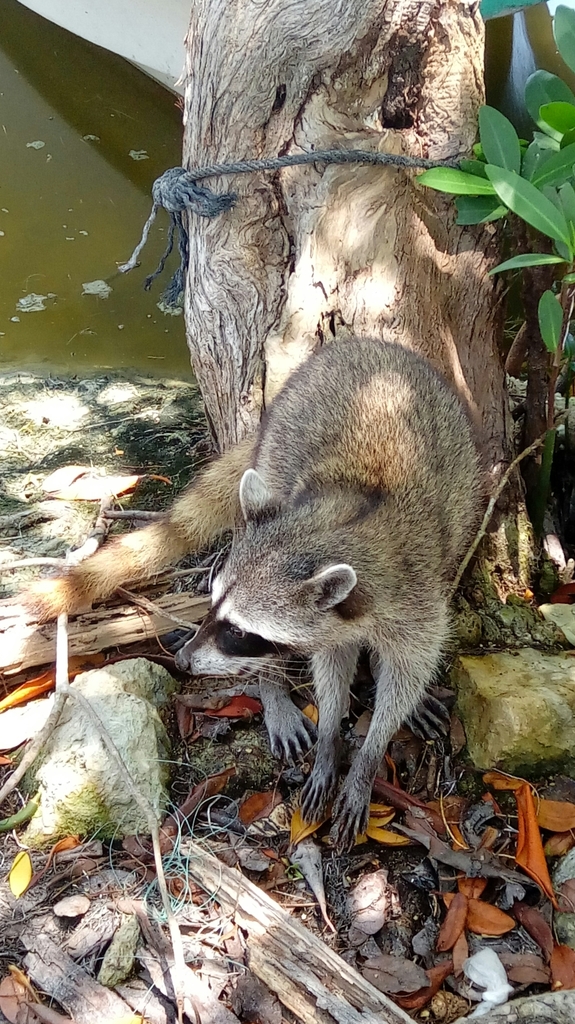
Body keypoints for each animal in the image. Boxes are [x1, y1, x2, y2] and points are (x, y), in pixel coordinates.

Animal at [27, 337, 481, 849]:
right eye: (213, 607)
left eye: (240, 632)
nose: (183, 661)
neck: (348, 524)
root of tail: (364, 343)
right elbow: (332, 667)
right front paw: (331, 736)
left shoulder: (415, 601)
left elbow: (406, 669)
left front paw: (369, 755)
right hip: (280, 443)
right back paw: (272, 687)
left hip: (460, 468)